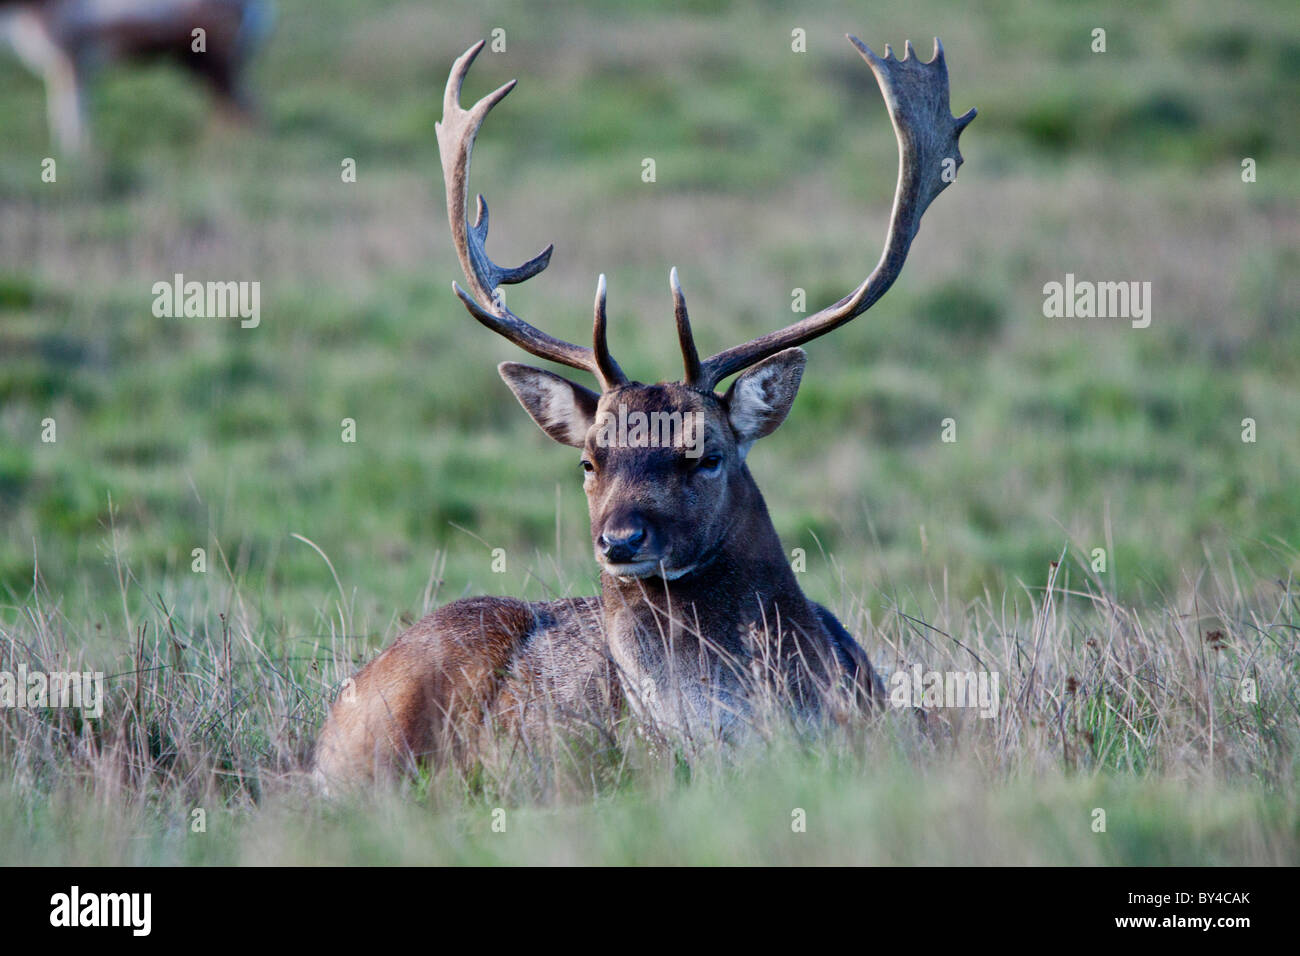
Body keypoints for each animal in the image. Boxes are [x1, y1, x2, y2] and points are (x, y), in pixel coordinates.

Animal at [0, 0, 273, 154]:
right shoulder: (74, 71)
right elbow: (70, 114)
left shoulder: (68, 63)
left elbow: (69, 117)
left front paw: (75, 156)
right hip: (205, 70)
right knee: (234, 113)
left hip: (218, 69)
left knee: (249, 111)